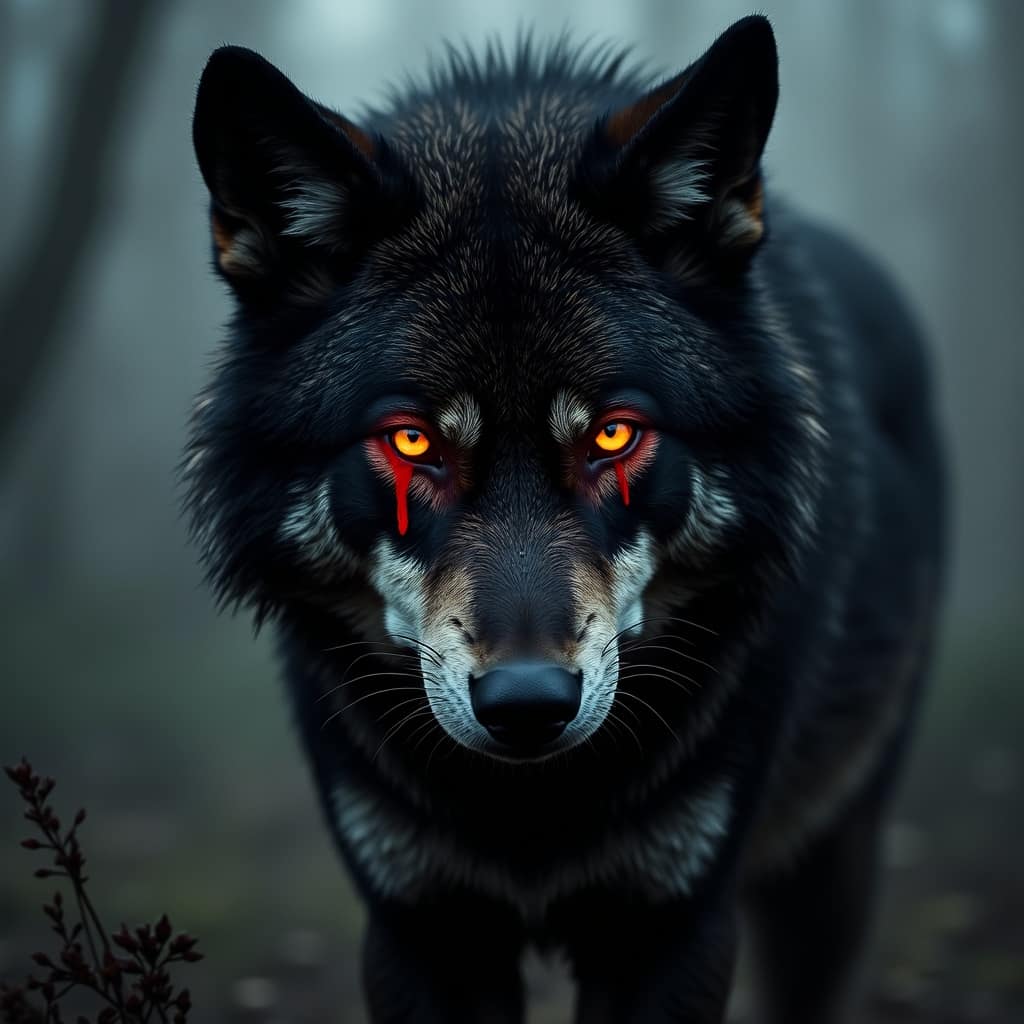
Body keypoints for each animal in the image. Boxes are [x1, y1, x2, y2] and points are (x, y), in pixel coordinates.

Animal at [186, 14, 946, 1023]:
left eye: (614, 435)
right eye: (413, 442)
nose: (527, 703)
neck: (531, 813)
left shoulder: (671, 928)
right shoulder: (420, 928)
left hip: (831, 863)